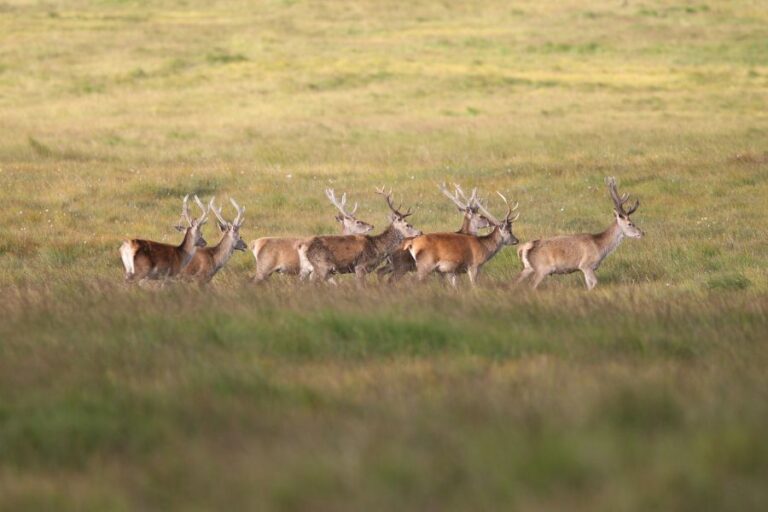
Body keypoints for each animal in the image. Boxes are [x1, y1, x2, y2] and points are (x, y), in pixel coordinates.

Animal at [514, 176, 643, 290]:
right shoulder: (586, 265)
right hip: (543, 268)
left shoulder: (586, 268)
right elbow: (595, 283)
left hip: (528, 268)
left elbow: (589, 285)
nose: (642, 233)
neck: (600, 246)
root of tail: (523, 247)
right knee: (531, 285)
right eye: (630, 223)